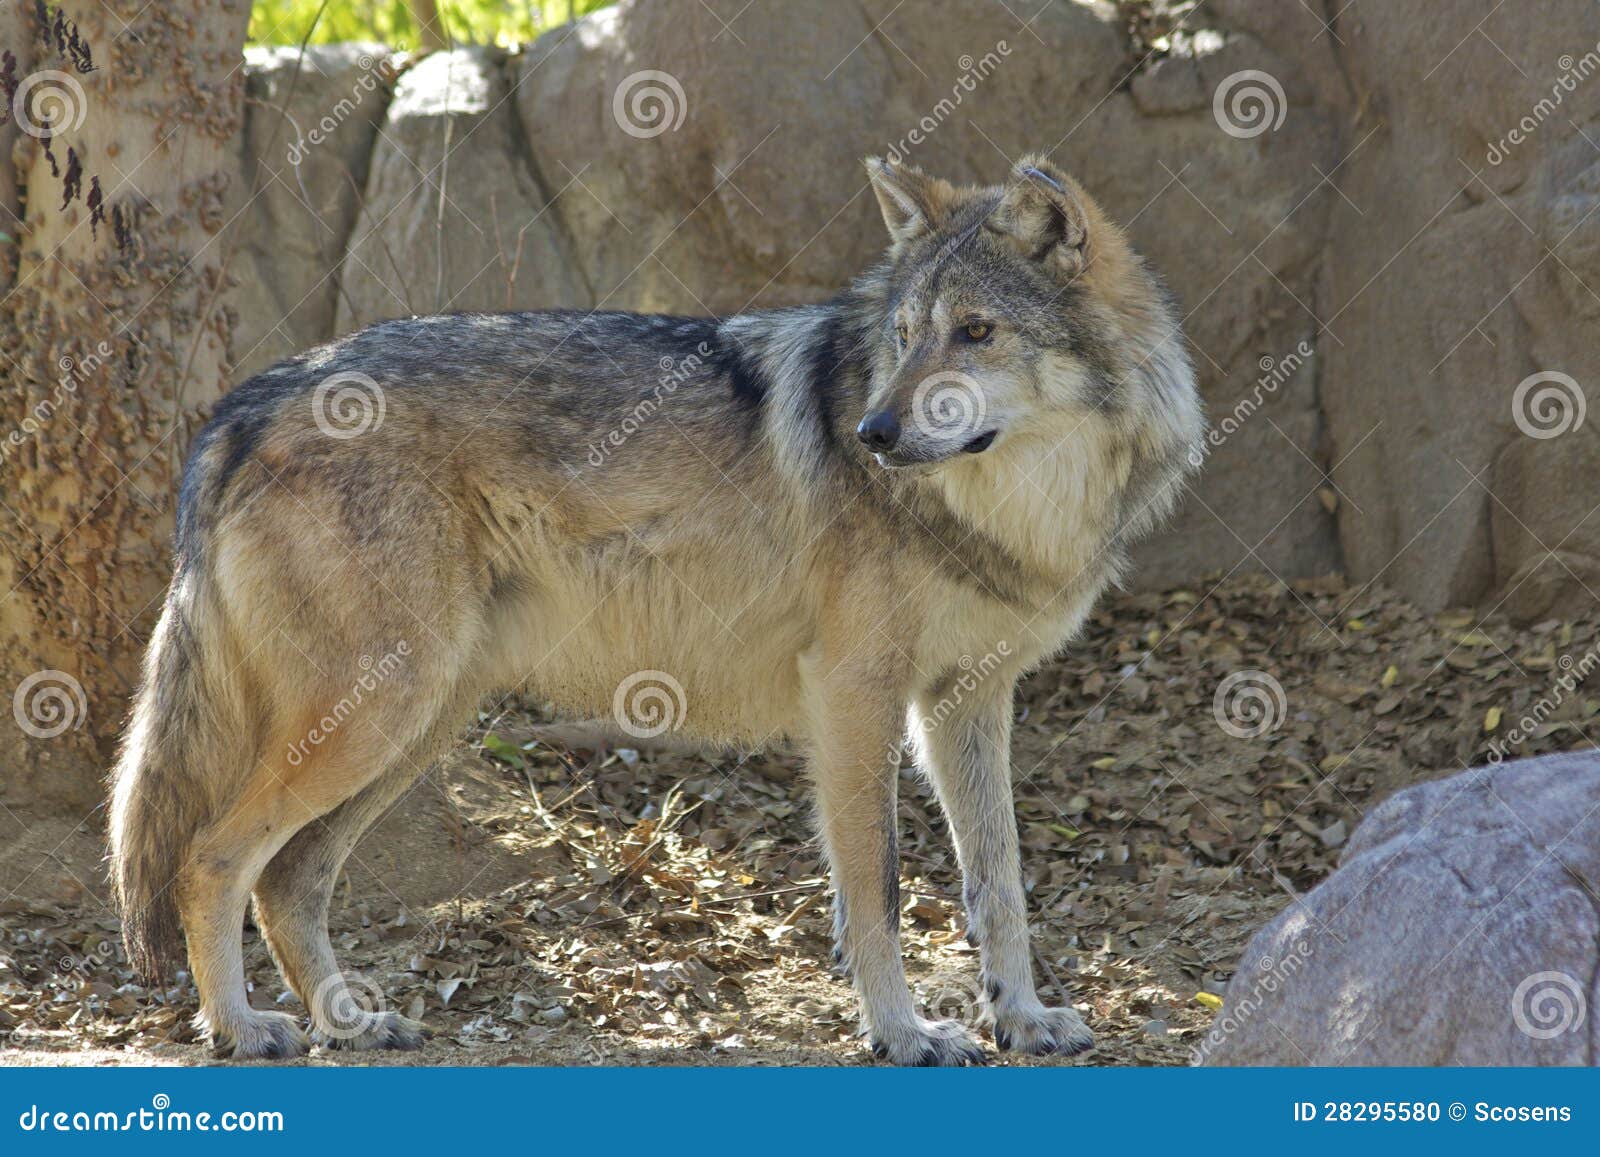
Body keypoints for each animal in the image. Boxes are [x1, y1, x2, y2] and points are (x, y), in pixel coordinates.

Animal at [108, 154, 1203, 1065]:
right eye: (904, 338)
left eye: (975, 332)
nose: (874, 431)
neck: (1017, 507)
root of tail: (246, 403)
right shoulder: (855, 694)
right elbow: (879, 889)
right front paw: (901, 1032)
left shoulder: (967, 701)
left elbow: (998, 880)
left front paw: (1022, 1016)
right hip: (380, 712)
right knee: (211, 856)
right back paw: (241, 1026)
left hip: (417, 720)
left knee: (289, 879)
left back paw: (348, 1020)